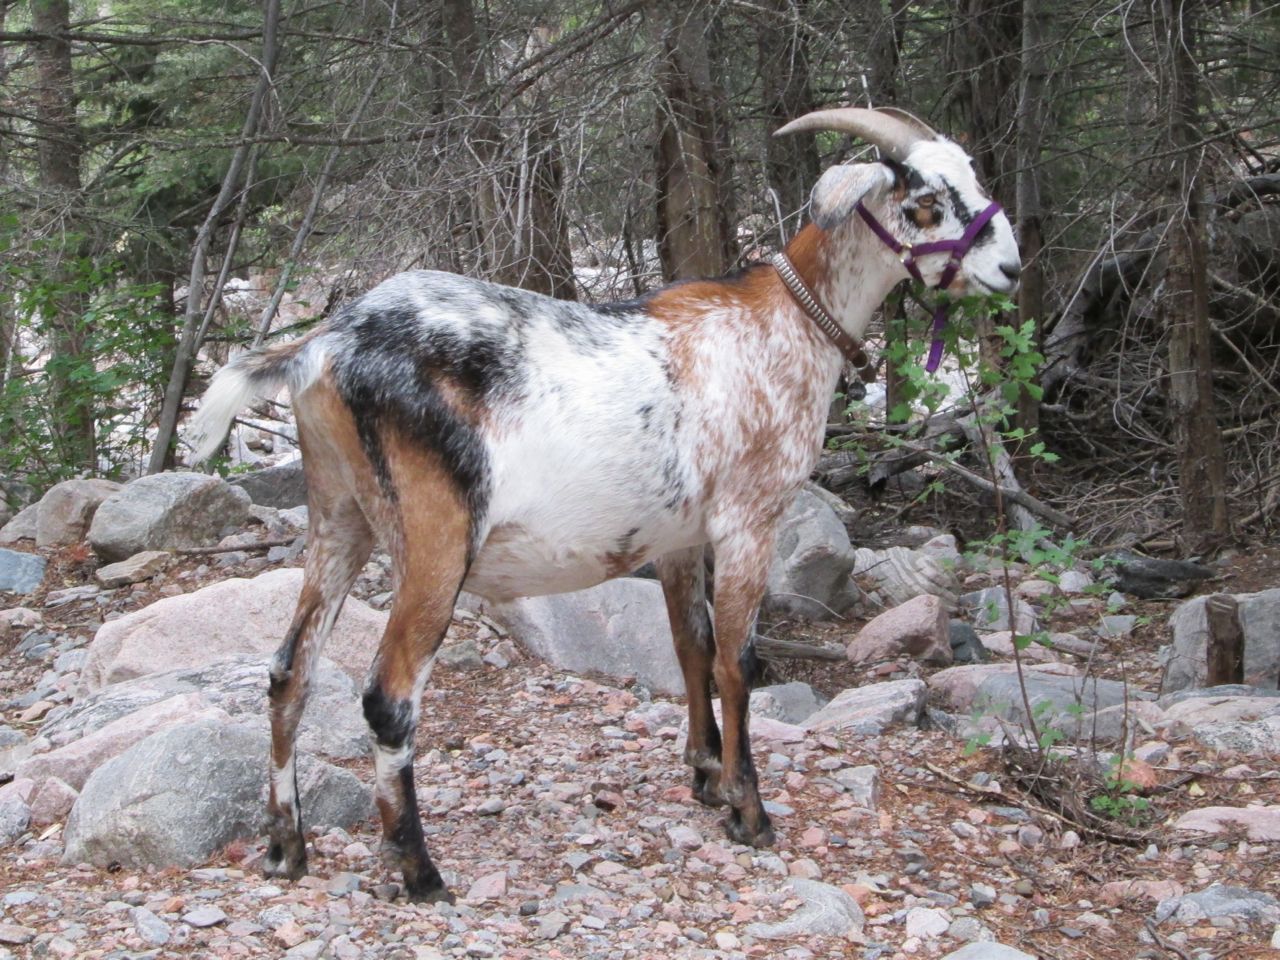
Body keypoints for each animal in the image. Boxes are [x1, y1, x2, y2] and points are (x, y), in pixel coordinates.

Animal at [187, 107, 1021, 904]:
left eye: (973, 178)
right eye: (923, 204)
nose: (1009, 268)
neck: (784, 322)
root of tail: (320, 344)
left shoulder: (682, 535)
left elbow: (690, 646)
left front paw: (705, 774)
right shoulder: (750, 516)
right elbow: (737, 660)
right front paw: (749, 810)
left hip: (339, 514)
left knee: (289, 671)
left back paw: (286, 846)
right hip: (434, 533)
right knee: (388, 695)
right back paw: (419, 870)